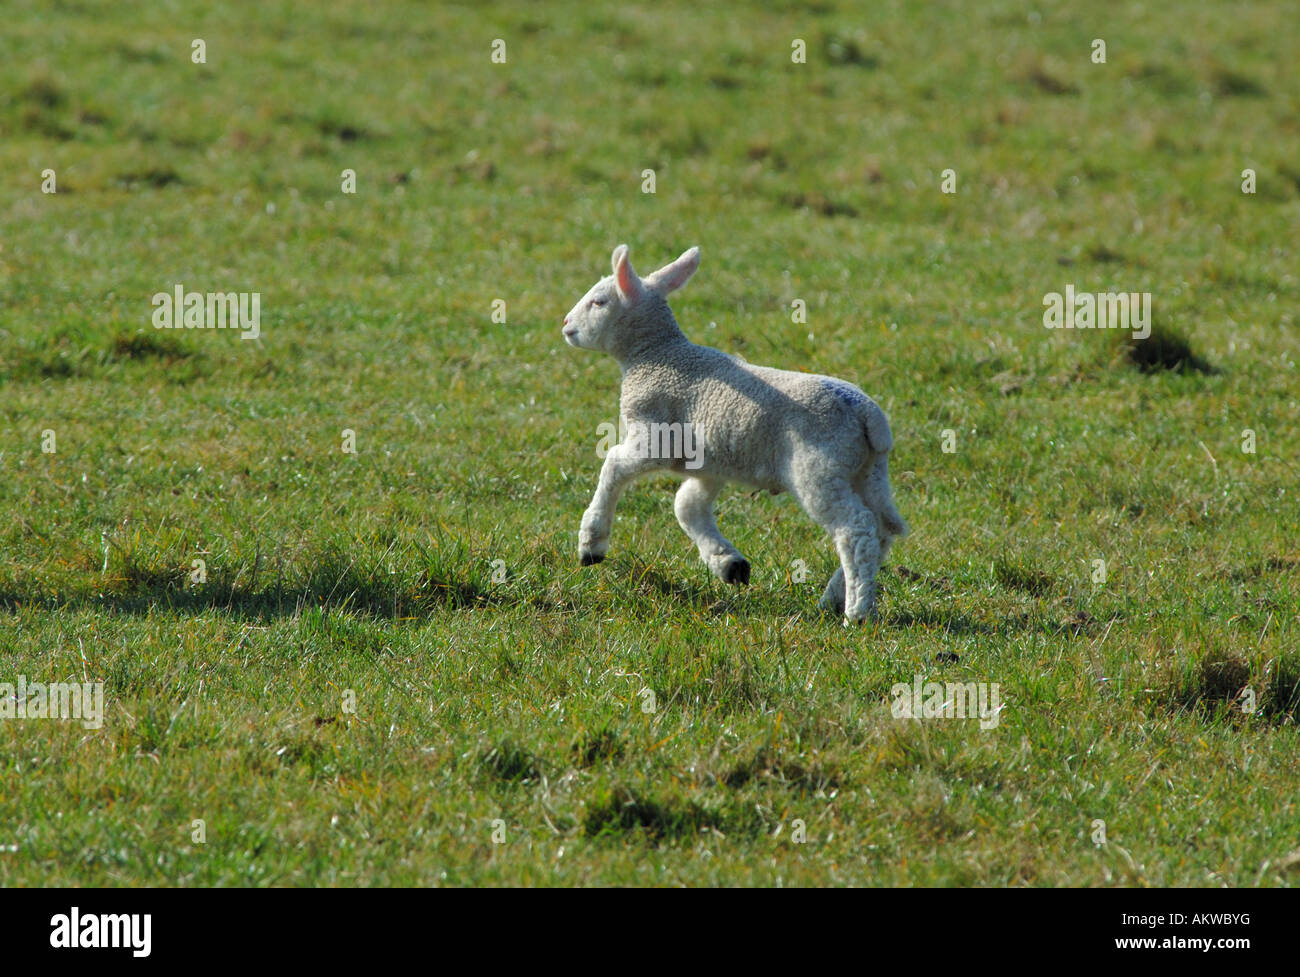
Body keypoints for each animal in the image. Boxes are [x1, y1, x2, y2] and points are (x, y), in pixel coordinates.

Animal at [562, 244, 907, 623]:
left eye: (598, 301)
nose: (565, 325)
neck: (655, 355)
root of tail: (868, 414)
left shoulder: (654, 436)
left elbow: (612, 466)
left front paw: (591, 544)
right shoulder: (708, 462)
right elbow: (687, 506)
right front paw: (728, 564)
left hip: (820, 469)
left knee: (856, 528)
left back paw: (857, 612)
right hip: (868, 470)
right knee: (883, 527)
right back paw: (834, 598)